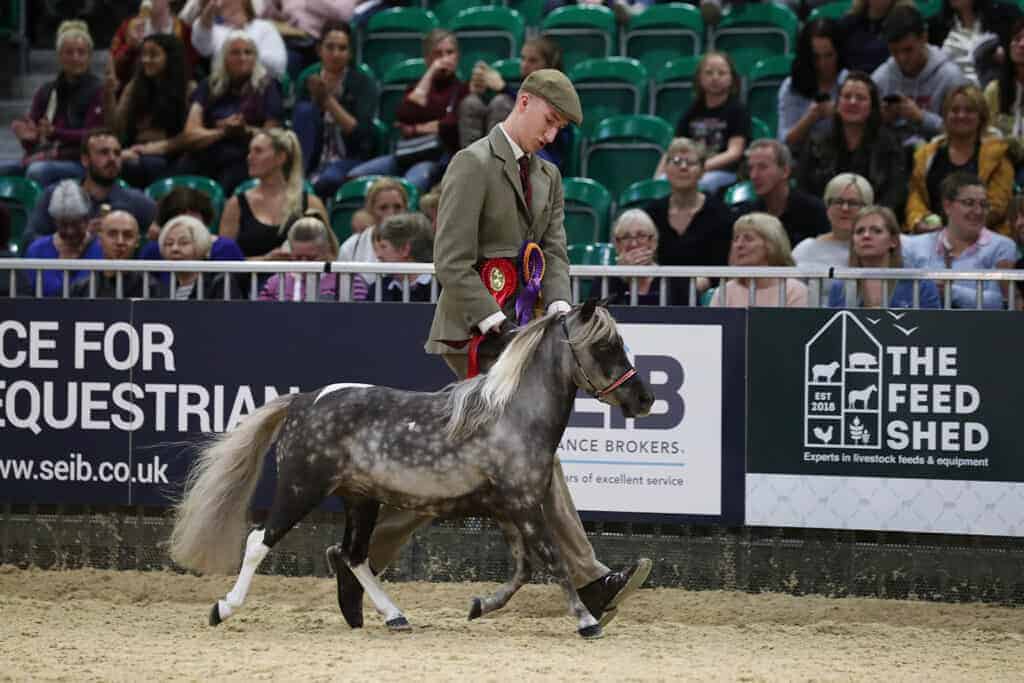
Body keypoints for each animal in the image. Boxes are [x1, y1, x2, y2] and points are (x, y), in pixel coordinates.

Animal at [168, 300, 654, 639]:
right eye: (606, 345)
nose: (644, 400)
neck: (511, 416)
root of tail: (303, 401)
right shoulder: (523, 506)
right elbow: (553, 561)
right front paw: (587, 621)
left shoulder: (508, 510)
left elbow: (523, 570)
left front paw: (479, 606)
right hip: (301, 487)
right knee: (259, 542)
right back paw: (222, 609)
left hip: (360, 500)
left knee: (353, 555)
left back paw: (393, 616)